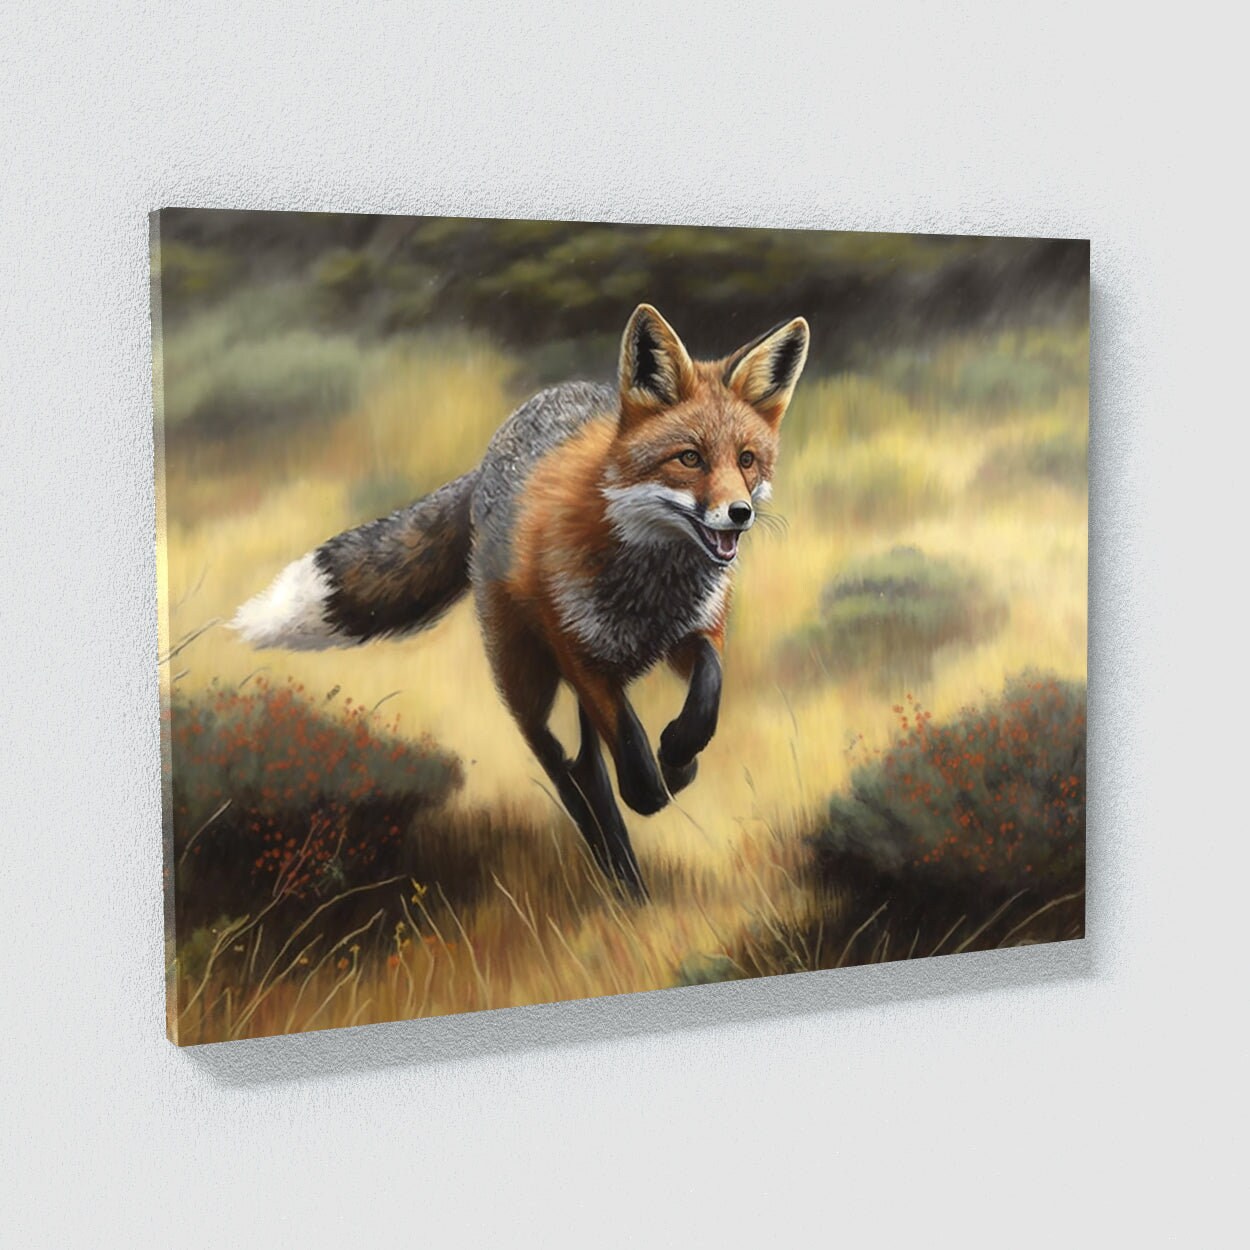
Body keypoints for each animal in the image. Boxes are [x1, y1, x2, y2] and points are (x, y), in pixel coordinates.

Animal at [232, 304, 810, 899]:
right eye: (689, 458)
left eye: (747, 460)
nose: (739, 513)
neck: (649, 591)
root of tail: (501, 440)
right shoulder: (582, 658)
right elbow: (635, 765)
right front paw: (664, 775)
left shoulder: (689, 633)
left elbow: (708, 690)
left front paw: (679, 752)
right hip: (531, 688)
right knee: (576, 774)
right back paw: (623, 878)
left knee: (587, 771)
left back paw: (628, 883)